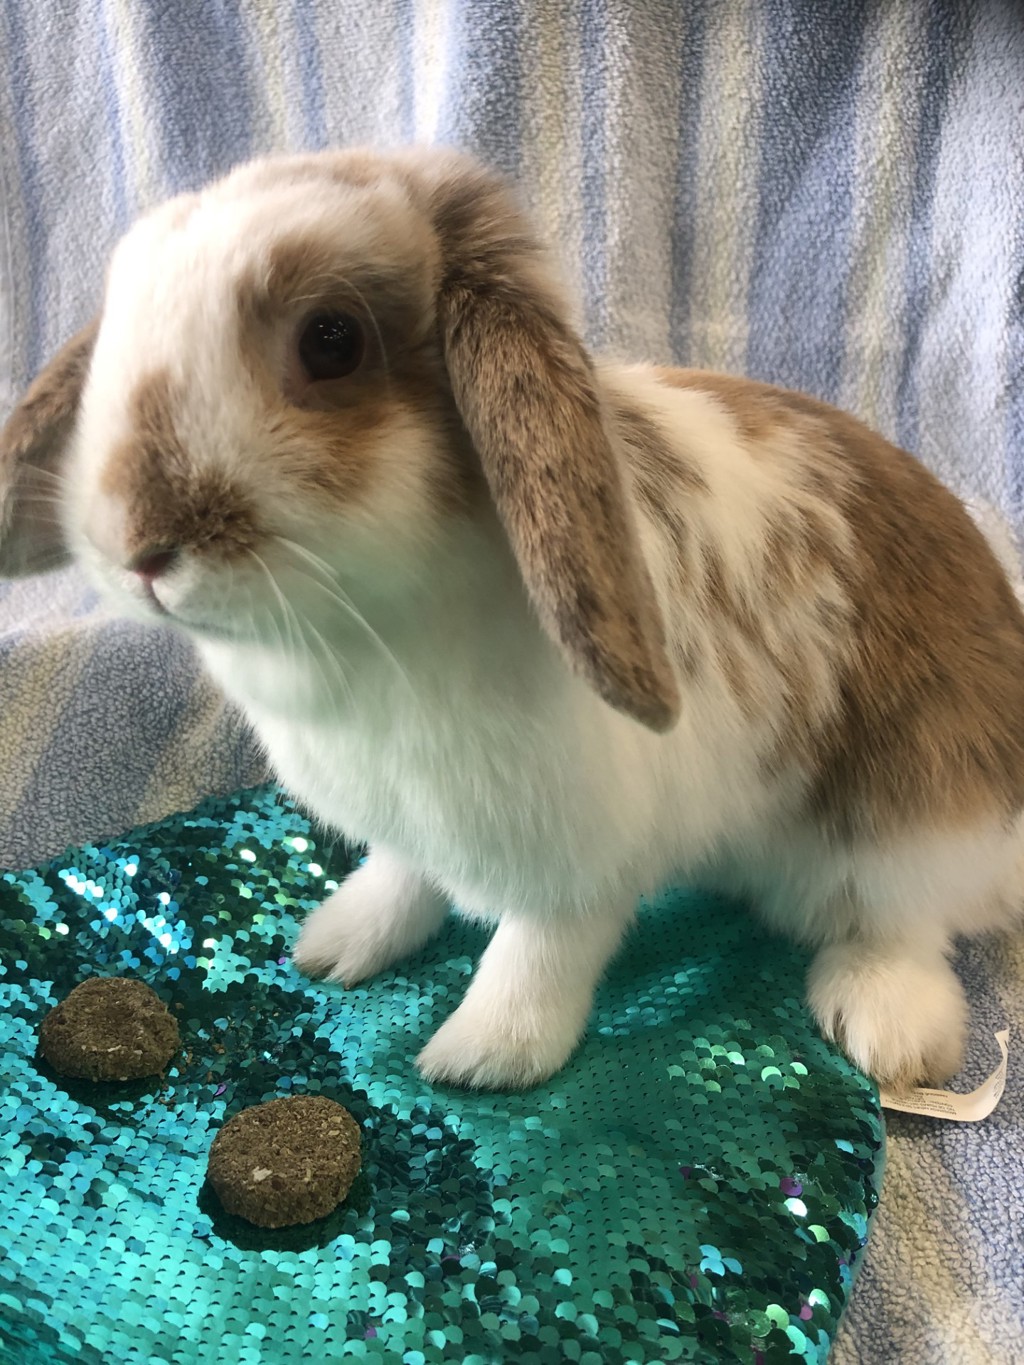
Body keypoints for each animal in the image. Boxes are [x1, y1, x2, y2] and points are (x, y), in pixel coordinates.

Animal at [2, 146, 1023, 1093]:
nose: (134, 544)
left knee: (907, 925)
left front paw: (483, 1057)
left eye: (332, 340)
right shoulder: (410, 822)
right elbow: (400, 878)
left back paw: (884, 1025)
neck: (378, 636)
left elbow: (539, 950)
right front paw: (337, 944)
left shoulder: (576, 859)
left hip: (912, 809)